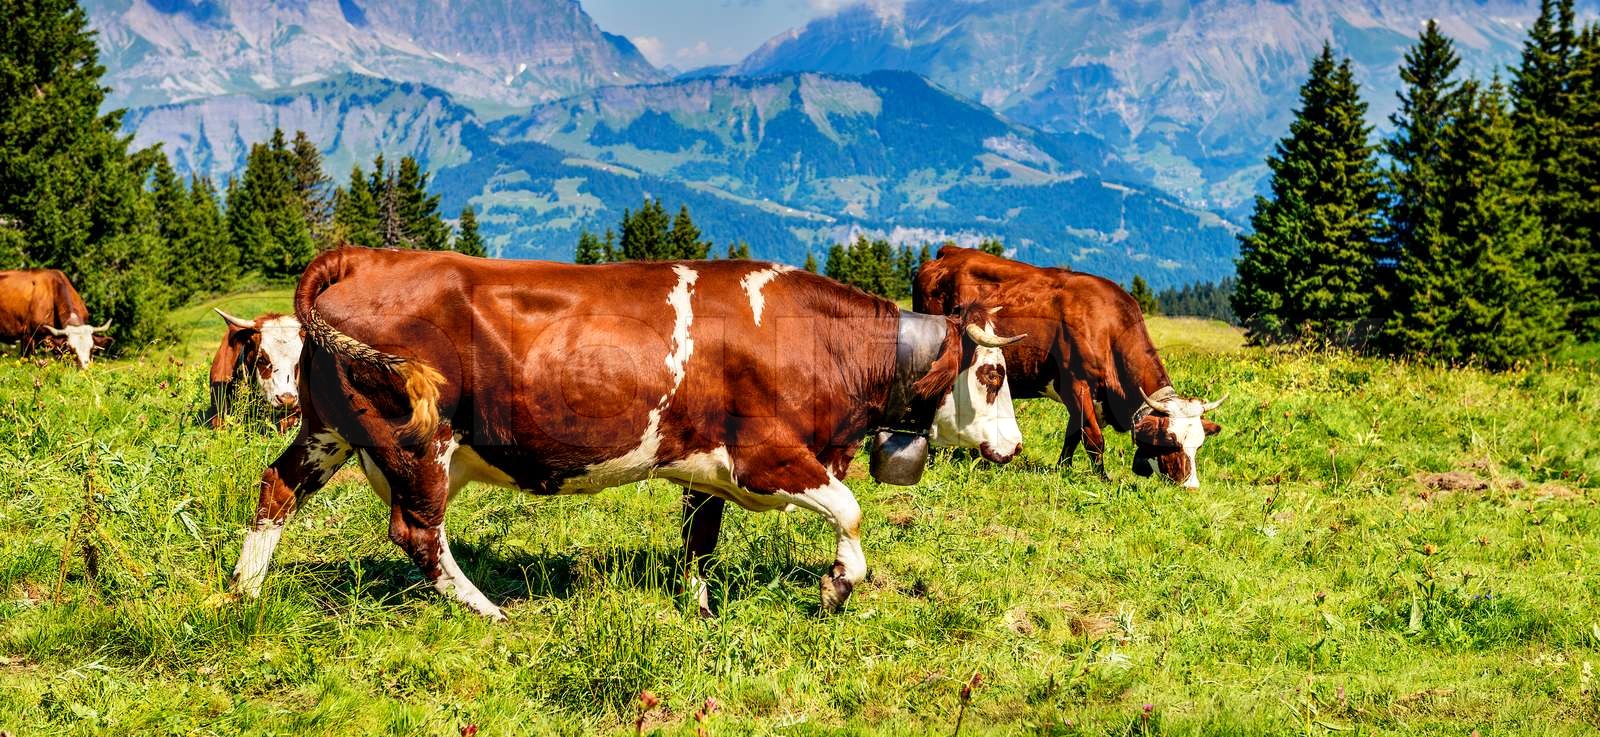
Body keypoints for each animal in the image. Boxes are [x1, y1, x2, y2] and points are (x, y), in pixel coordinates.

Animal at [228, 247, 1026, 619]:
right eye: (991, 375)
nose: (1015, 448)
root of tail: (365, 256)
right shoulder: (766, 457)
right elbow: (852, 511)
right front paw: (835, 585)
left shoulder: (709, 469)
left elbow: (700, 542)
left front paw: (698, 610)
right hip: (416, 443)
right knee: (418, 533)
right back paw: (490, 611)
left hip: (329, 430)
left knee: (276, 488)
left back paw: (240, 594)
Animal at [915, 245, 1225, 488]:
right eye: (1171, 441)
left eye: (1198, 445)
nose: (1191, 487)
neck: (1107, 326)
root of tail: (947, 253)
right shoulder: (1076, 383)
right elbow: (1094, 438)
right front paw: (1102, 479)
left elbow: (1073, 434)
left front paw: (1062, 469)